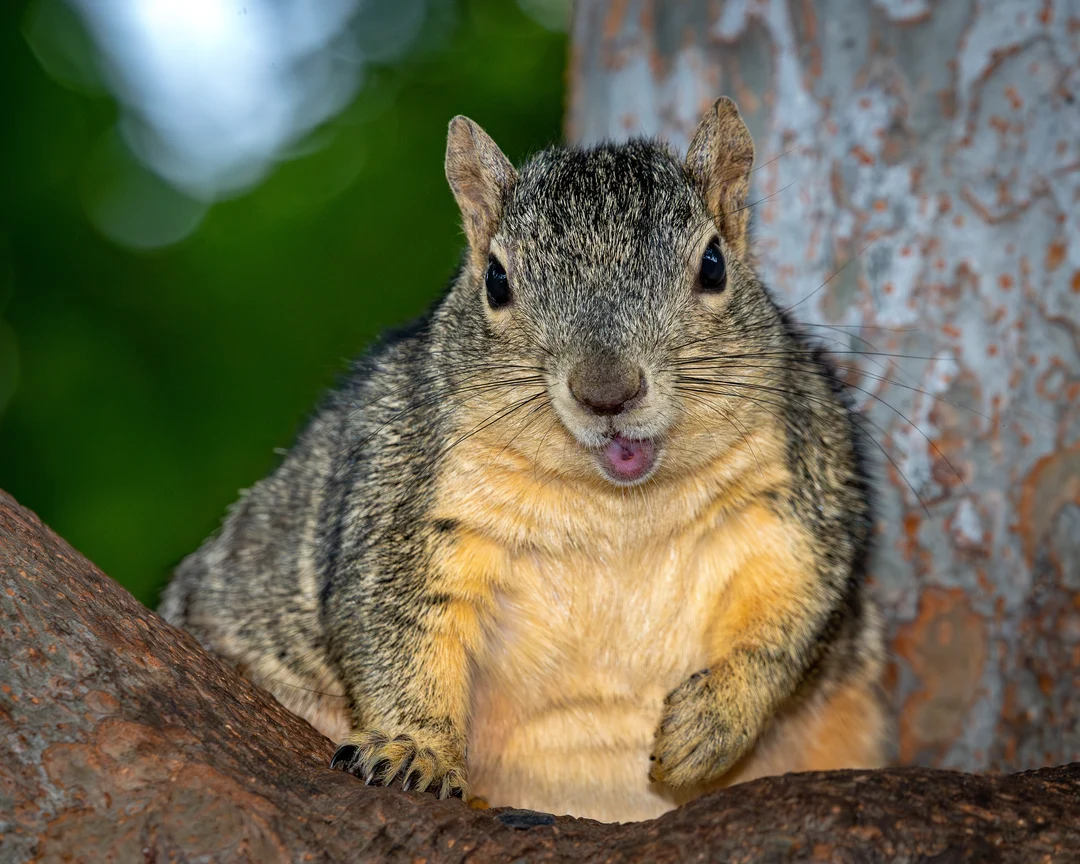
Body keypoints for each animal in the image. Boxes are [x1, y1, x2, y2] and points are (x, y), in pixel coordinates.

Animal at [160, 97, 888, 823]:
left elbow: (790, 618)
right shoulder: (400, 493)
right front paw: (414, 749)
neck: (617, 505)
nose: (607, 392)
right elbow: (393, 631)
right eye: (495, 280)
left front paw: (711, 723)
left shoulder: (801, 488)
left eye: (713, 264)